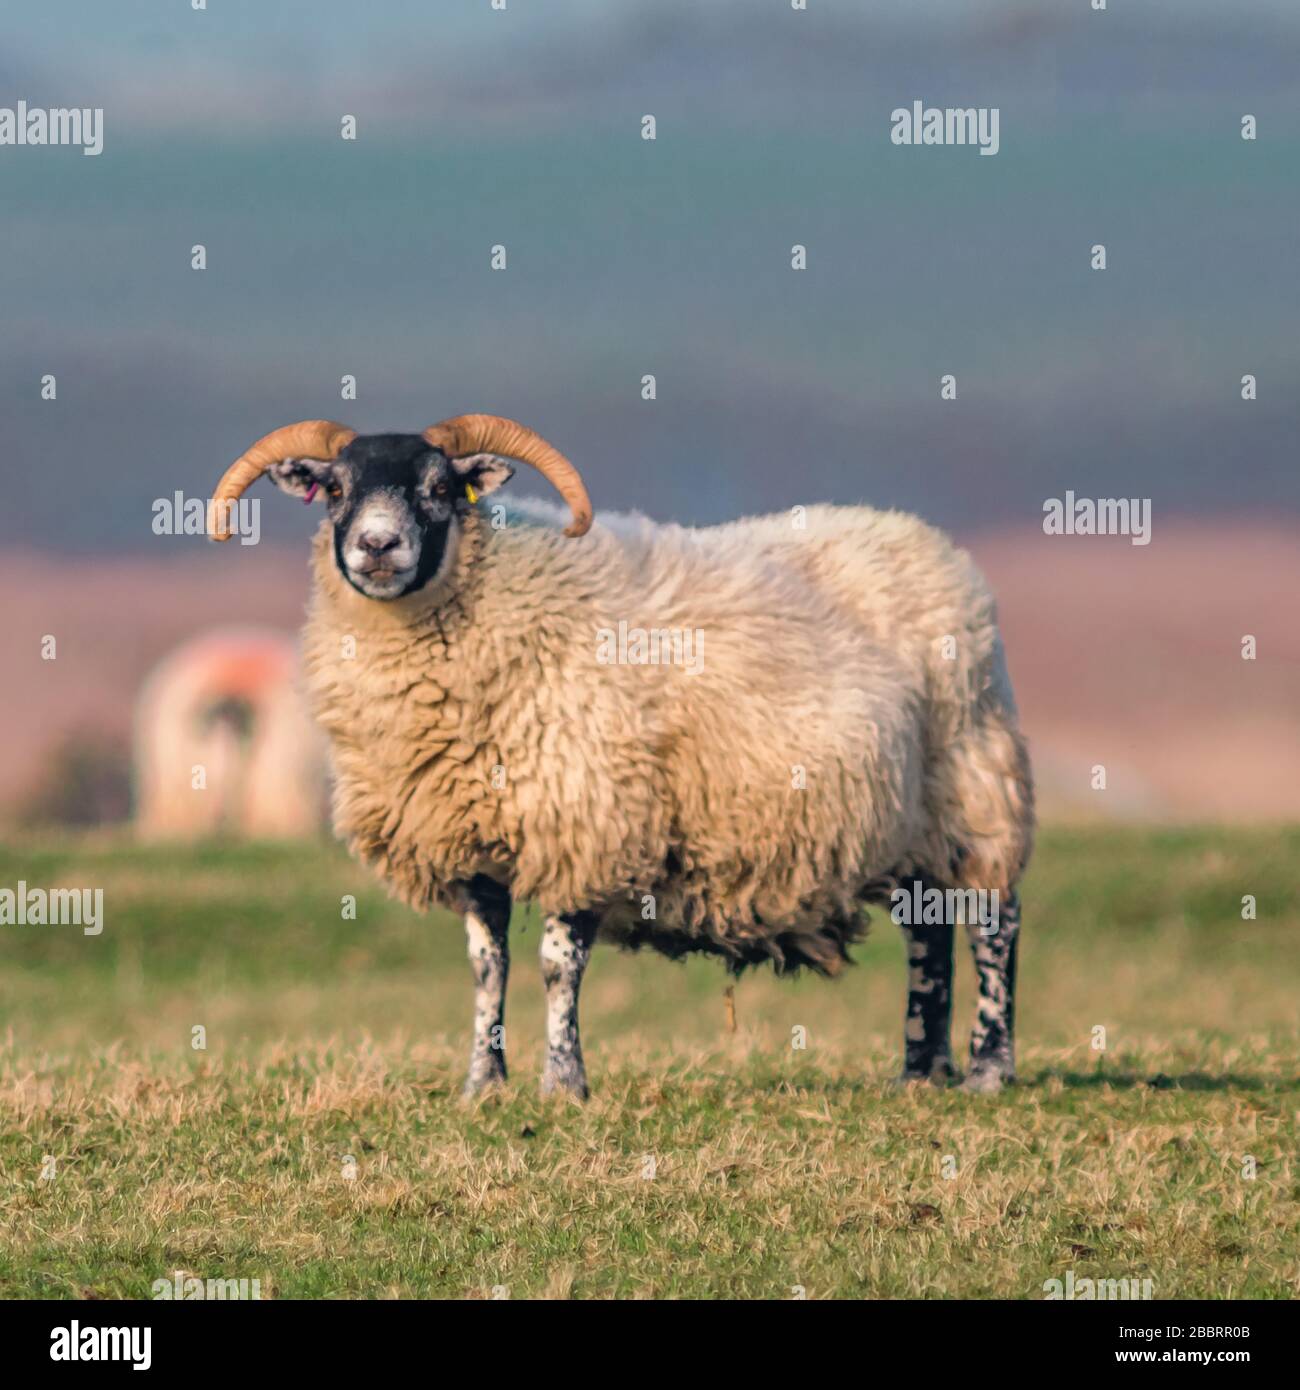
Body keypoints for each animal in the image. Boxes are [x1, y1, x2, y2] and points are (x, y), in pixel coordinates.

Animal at [209, 415, 1034, 1097]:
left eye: (440, 488)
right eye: (334, 490)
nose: (378, 546)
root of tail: (927, 540)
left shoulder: (587, 820)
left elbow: (556, 965)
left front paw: (563, 1085)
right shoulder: (474, 839)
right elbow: (486, 967)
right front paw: (483, 1085)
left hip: (974, 783)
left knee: (992, 924)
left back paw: (987, 1071)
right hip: (907, 825)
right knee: (927, 935)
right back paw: (919, 1072)